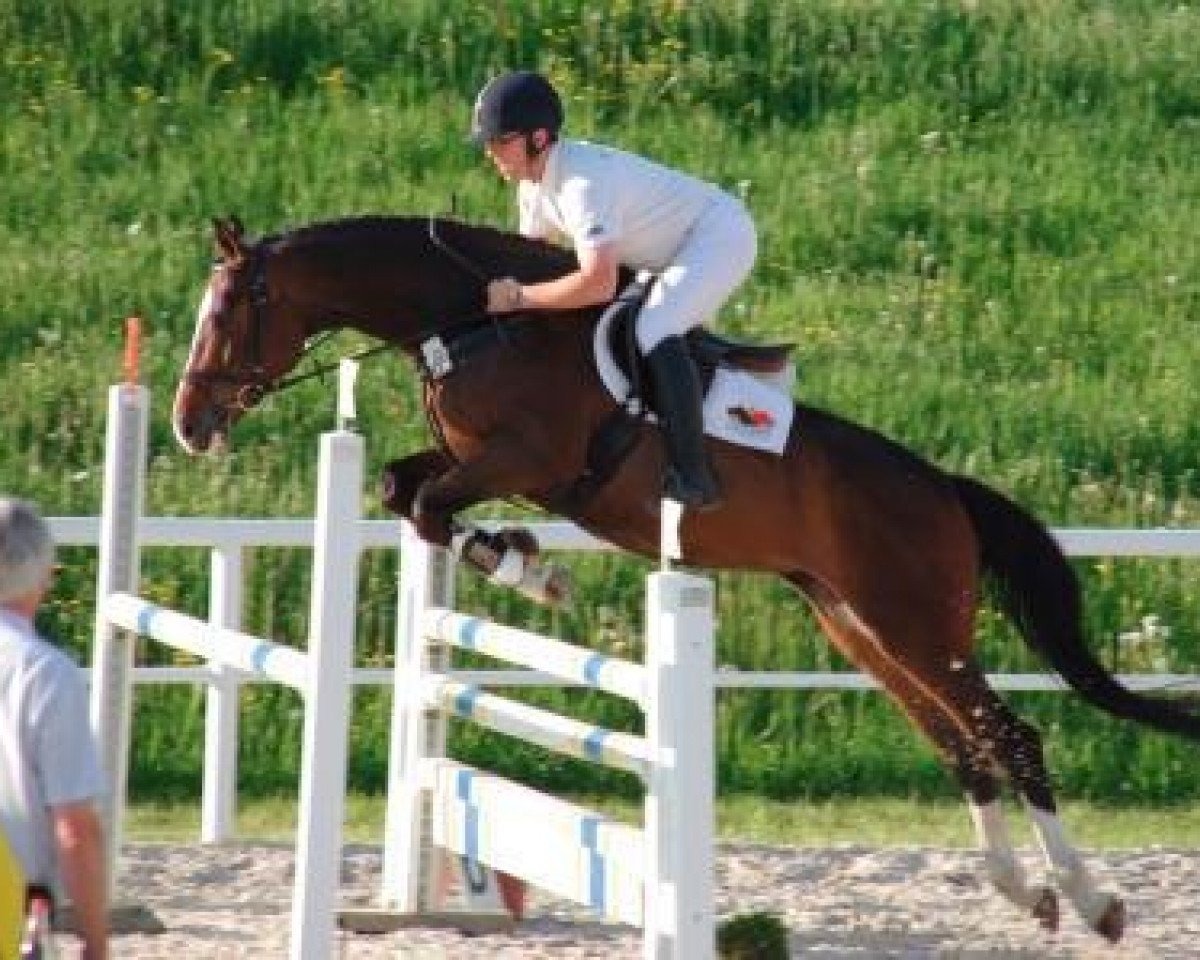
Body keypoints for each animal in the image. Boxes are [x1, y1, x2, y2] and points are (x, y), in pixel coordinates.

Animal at [174, 214, 1200, 941]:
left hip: (914, 620)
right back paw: (1024, 891)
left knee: (1011, 736)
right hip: (856, 622)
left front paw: (530, 572)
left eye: (227, 313)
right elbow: (403, 489)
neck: (475, 323)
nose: (189, 424)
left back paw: (1092, 899)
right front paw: (518, 559)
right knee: (961, 743)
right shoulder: (475, 461)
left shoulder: (527, 460)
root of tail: (944, 488)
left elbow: (428, 503)